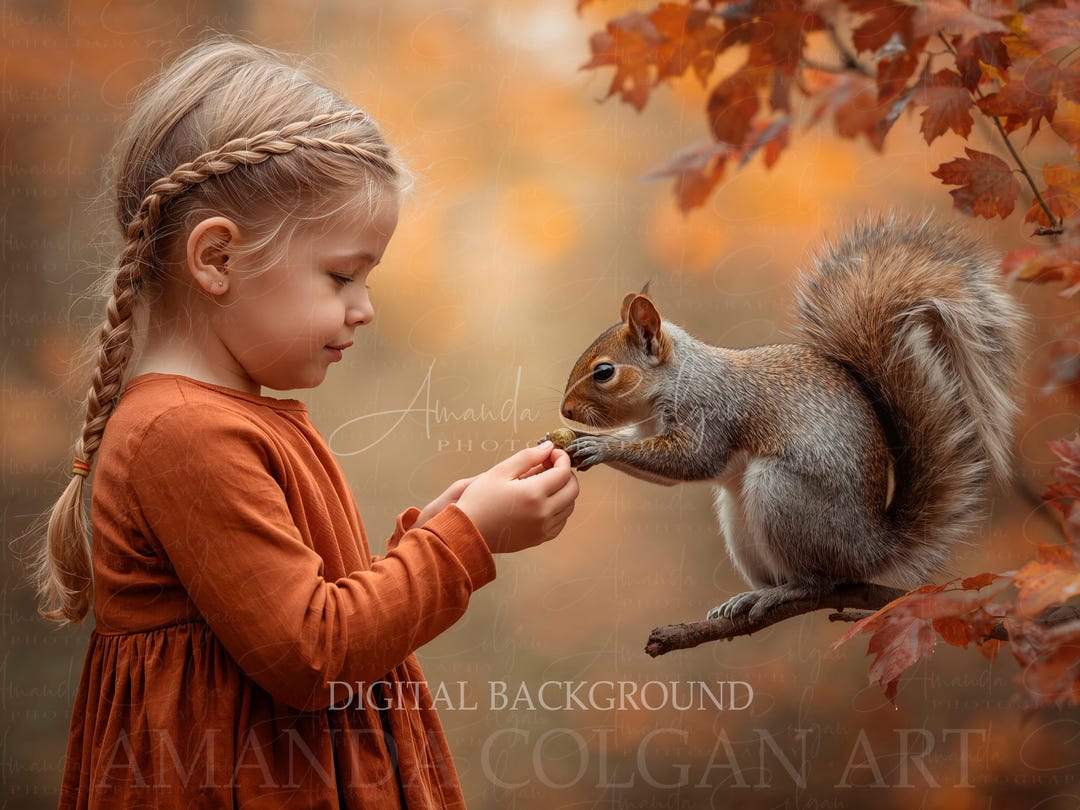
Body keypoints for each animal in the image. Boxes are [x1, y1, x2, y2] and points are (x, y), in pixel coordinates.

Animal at [558, 213, 1025, 621]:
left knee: (820, 581)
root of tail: (871, 547)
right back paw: (750, 597)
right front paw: (577, 443)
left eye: (604, 372)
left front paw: (599, 445)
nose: (565, 411)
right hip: (741, 523)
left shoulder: (711, 409)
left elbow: (693, 459)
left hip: (782, 495)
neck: (672, 382)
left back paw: (785, 592)